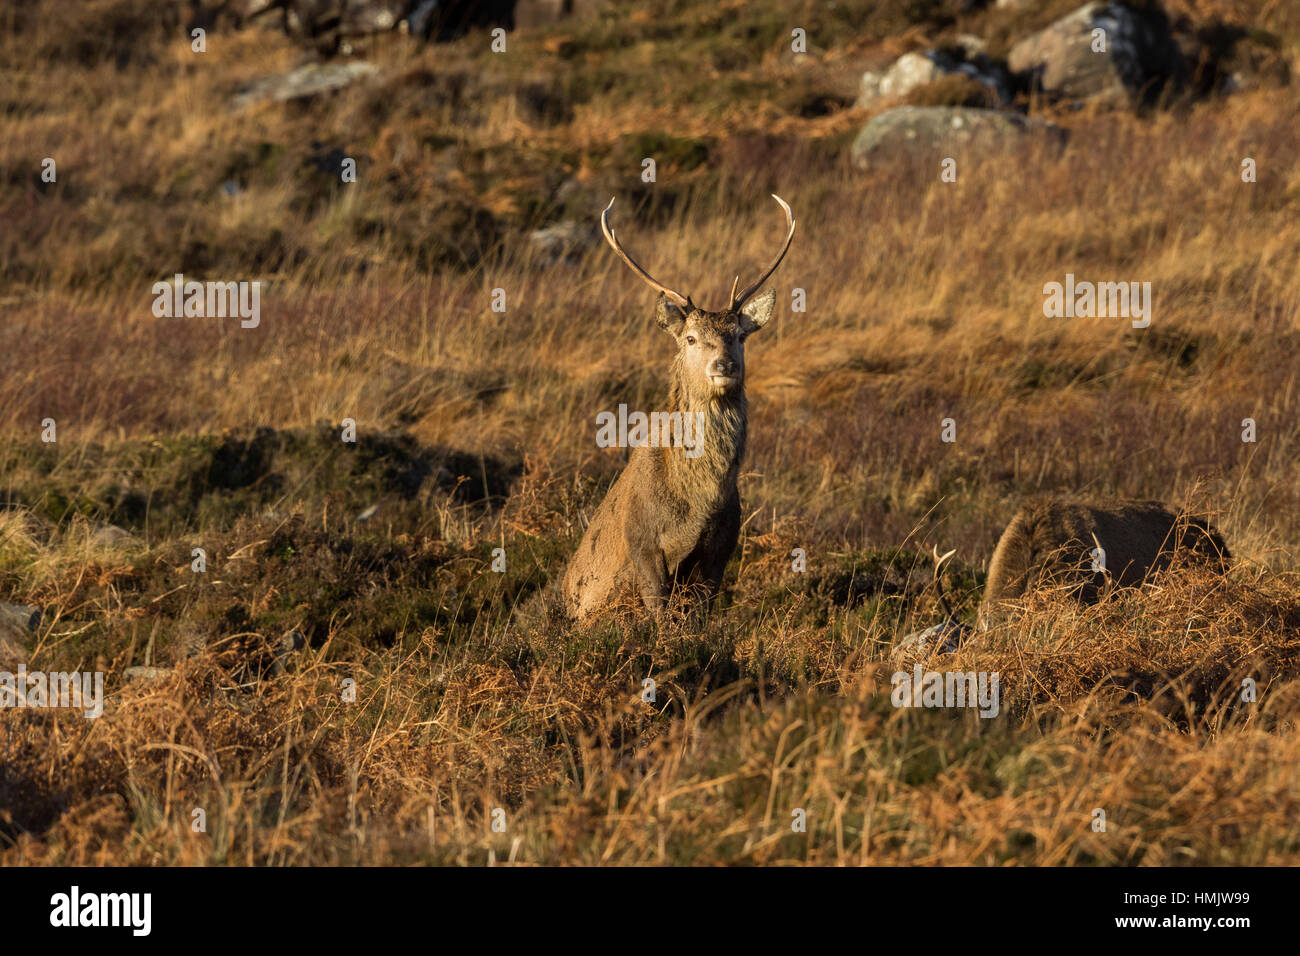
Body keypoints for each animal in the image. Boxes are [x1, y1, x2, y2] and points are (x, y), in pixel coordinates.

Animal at [562, 195, 796, 624]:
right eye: (690, 338)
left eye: (740, 336)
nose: (724, 365)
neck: (698, 504)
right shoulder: (642, 541)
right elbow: (658, 612)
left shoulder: (722, 546)